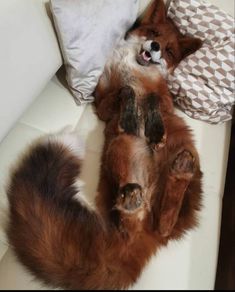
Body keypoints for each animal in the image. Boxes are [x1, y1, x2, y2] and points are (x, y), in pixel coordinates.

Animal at [6, 0, 202, 290]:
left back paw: (179, 171)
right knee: (140, 224)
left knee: (163, 224)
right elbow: (120, 95)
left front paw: (155, 129)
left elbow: (154, 100)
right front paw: (130, 103)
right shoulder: (102, 103)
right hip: (120, 147)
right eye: (154, 33)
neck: (134, 69)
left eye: (168, 50)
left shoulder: (165, 102)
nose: (155, 47)